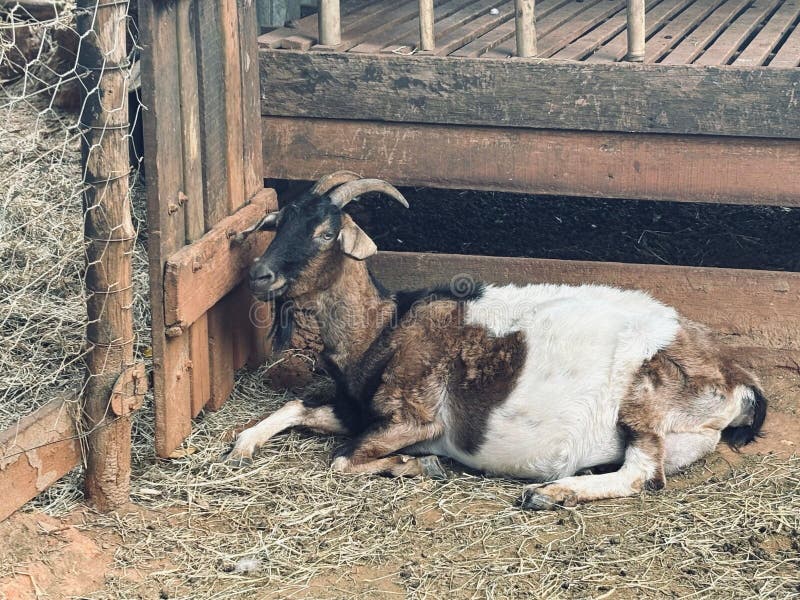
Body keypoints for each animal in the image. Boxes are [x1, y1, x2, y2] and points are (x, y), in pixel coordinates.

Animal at [227, 172, 767, 509]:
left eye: (324, 233)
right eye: (278, 225)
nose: (259, 275)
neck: (382, 331)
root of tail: (737, 378)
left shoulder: (413, 418)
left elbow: (342, 459)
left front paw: (419, 466)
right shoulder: (357, 409)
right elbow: (296, 407)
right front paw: (241, 446)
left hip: (646, 399)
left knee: (642, 474)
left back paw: (550, 493)